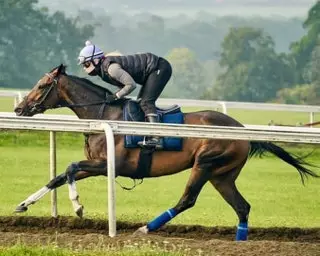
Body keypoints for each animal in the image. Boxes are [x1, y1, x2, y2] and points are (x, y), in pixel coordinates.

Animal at [13, 64, 318, 240]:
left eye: (42, 85)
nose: (18, 109)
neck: (104, 115)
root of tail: (242, 130)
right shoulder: (97, 163)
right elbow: (59, 176)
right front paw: (23, 204)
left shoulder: (111, 165)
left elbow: (70, 168)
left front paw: (78, 206)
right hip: (222, 175)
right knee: (242, 206)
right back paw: (239, 242)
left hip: (205, 163)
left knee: (187, 200)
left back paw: (145, 229)